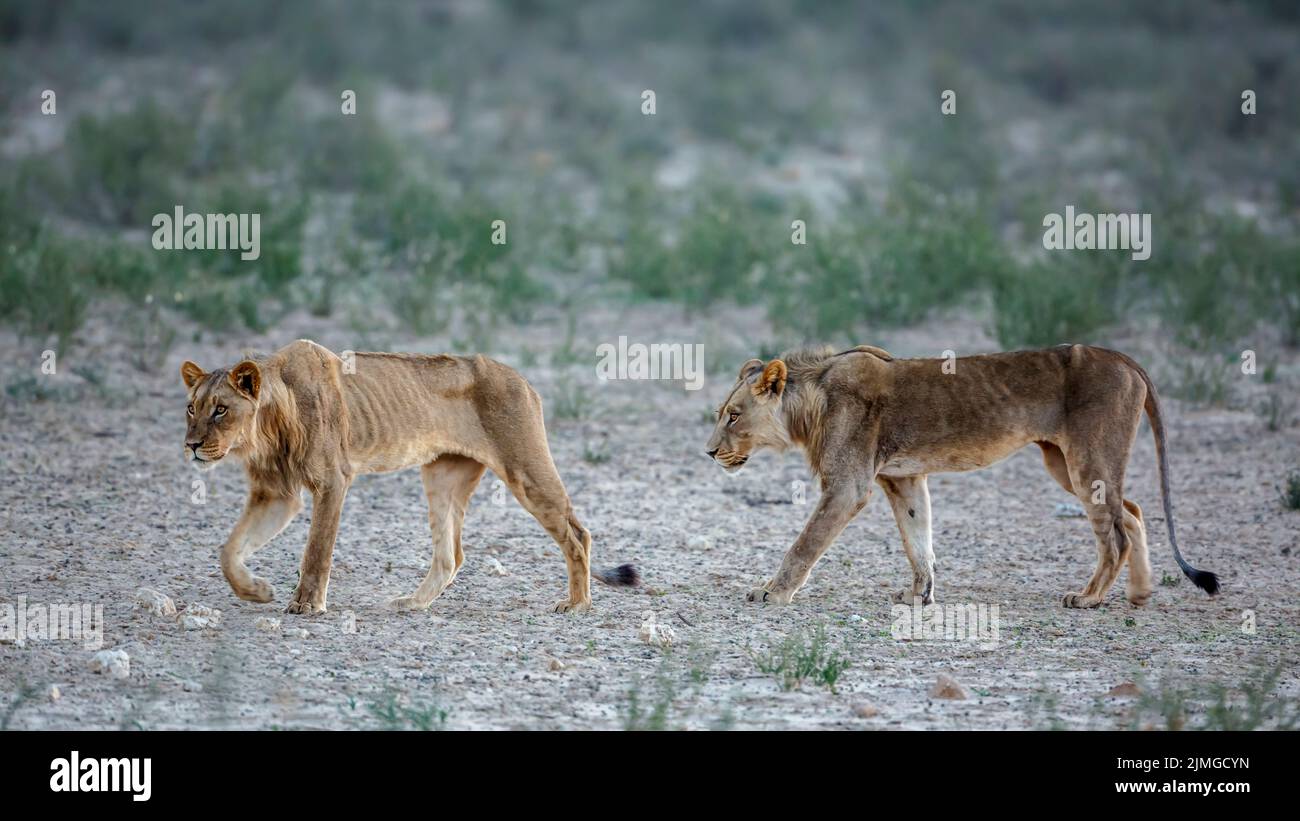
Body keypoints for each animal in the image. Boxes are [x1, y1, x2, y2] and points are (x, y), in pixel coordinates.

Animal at [180, 339, 637, 615]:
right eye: (192, 407)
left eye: (221, 409)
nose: (192, 445)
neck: (265, 429)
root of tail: (523, 379)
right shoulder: (275, 495)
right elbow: (229, 550)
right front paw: (254, 591)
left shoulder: (333, 481)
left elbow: (316, 551)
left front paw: (307, 605)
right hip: (442, 476)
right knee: (451, 555)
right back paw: (413, 603)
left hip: (526, 469)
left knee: (577, 534)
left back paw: (577, 604)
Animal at [705, 343, 1219, 608]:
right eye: (720, 413)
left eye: (734, 415)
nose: (710, 452)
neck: (812, 399)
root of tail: (1123, 357)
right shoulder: (903, 479)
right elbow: (919, 541)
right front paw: (921, 595)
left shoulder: (848, 487)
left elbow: (804, 544)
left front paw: (771, 592)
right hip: (1063, 462)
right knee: (1131, 511)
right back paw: (1139, 592)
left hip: (1087, 459)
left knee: (1115, 532)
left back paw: (1089, 598)